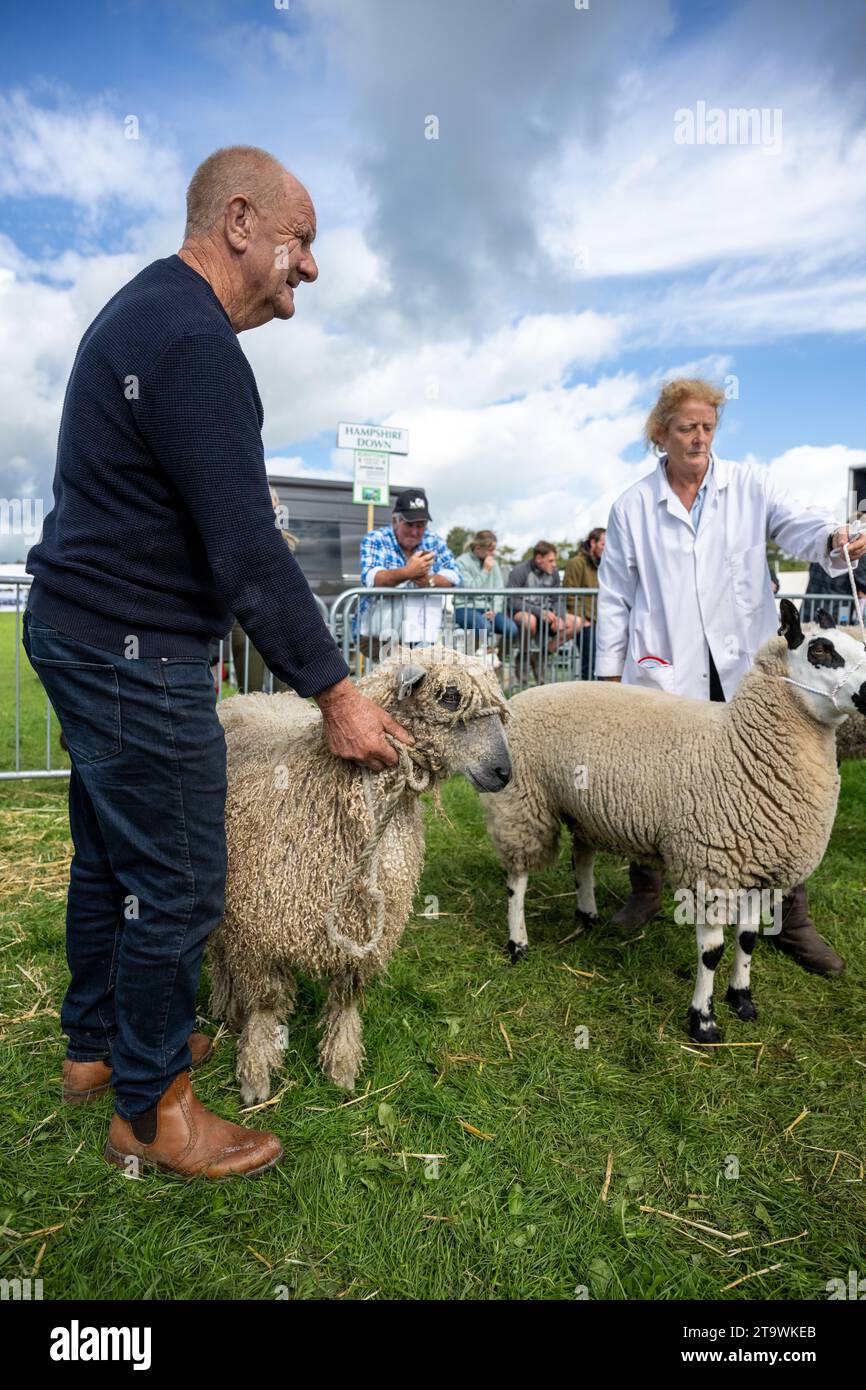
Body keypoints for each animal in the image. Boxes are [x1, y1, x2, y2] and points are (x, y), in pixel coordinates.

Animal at [210, 647, 511, 1100]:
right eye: (450, 697)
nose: (505, 772)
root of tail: (247, 695)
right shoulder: (260, 927)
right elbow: (265, 1004)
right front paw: (256, 1074)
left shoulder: (365, 928)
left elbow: (346, 1000)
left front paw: (341, 1066)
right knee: (219, 953)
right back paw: (227, 1008)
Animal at [482, 601, 866, 1045]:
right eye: (820, 650)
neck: (741, 745)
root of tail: (522, 696)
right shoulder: (712, 869)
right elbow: (712, 952)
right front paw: (703, 1021)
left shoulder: (761, 869)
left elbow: (748, 939)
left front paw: (743, 1000)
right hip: (520, 804)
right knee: (517, 880)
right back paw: (518, 943)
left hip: (582, 808)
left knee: (583, 859)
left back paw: (588, 915)